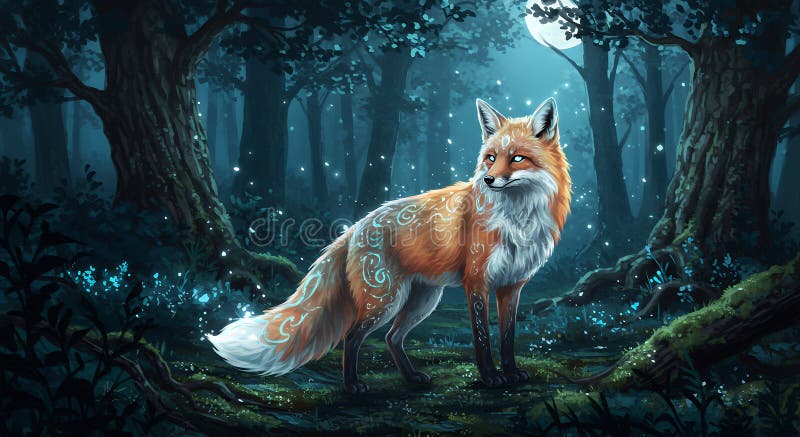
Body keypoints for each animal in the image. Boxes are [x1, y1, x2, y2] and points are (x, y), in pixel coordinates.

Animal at [208, 97, 571, 393]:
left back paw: (411, 378)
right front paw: (491, 377)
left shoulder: (512, 286)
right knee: (352, 337)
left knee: (391, 338)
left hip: (422, 300)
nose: (488, 180)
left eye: (518, 158)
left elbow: (508, 339)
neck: (517, 220)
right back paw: (352, 385)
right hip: (385, 300)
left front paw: (511, 373)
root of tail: (355, 228)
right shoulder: (477, 283)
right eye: (491, 158)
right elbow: (482, 339)